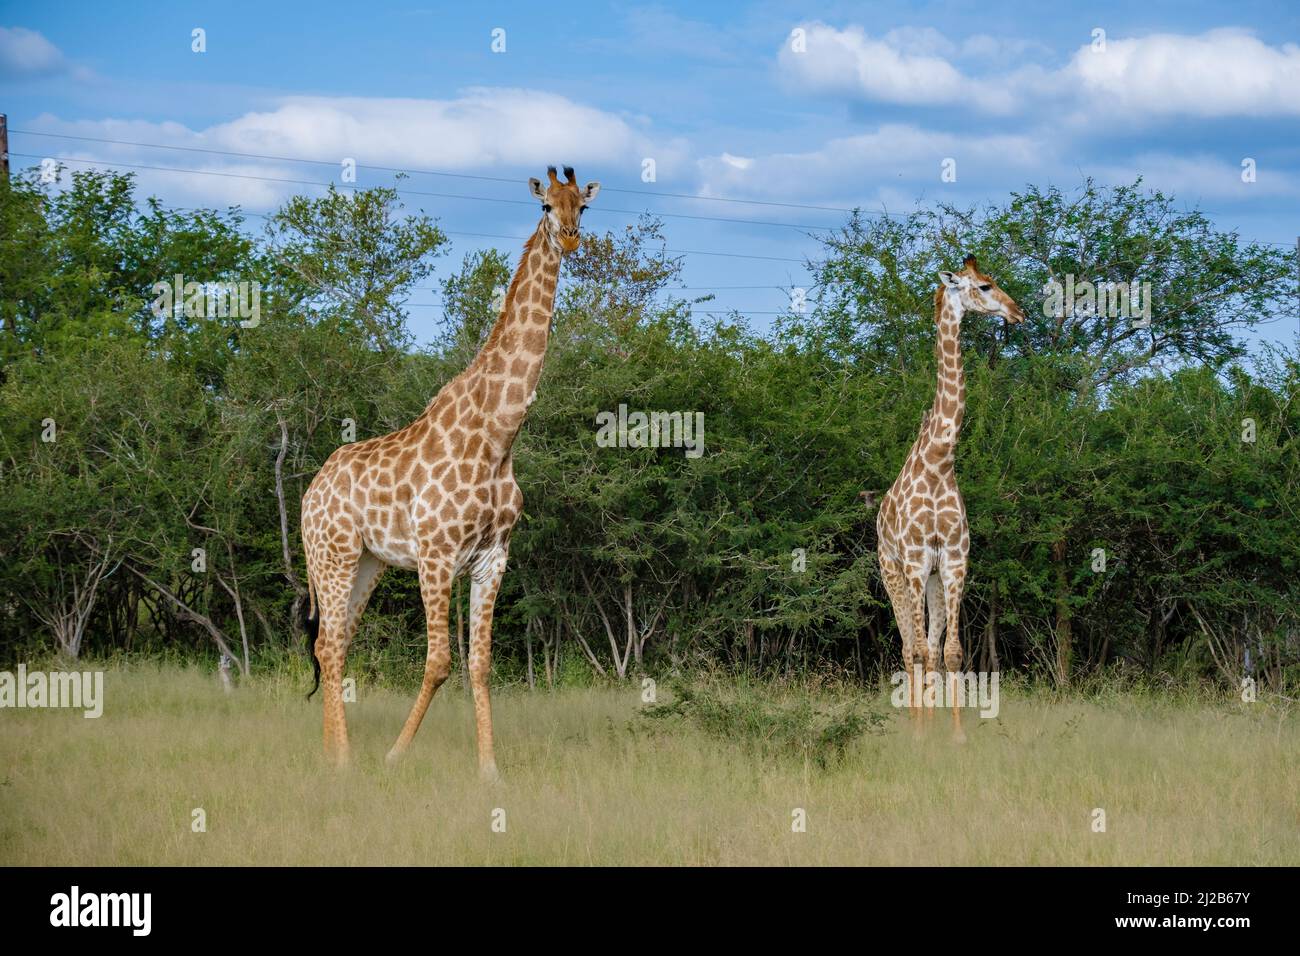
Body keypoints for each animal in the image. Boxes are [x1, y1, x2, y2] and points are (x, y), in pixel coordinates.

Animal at [300, 166, 600, 779]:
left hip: (366, 562)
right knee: (327, 645)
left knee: (334, 644)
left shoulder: (493, 557)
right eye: (544, 206)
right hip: (332, 556)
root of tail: (307, 495)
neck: (499, 435)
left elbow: (479, 664)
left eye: (582, 206)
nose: (570, 239)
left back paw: (334, 757)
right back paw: (345, 760)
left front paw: (490, 771)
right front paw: (394, 755)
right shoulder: (436, 554)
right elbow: (439, 662)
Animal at [875, 255, 1023, 741]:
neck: (940, 462)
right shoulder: (916, 562)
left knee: (932, 647)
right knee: (908, 648)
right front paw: (922, 735)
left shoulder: (955, 562)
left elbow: (953, 652)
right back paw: (913, 723)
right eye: (985, 285)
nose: (1018, 313)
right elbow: (919, 651)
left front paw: (954, 735)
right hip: (893, 573)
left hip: (935, 581)